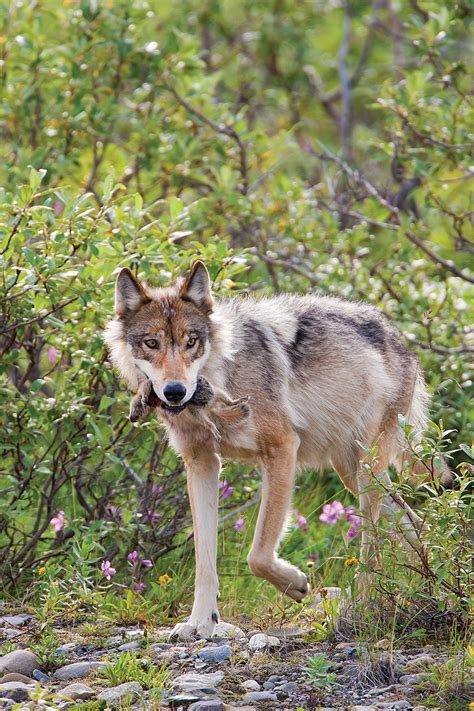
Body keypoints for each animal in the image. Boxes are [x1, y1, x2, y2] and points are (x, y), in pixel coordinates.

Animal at [104, 260, 436, 639]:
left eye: (191, 342)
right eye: (151, 343)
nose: (175, 391)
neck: (223, 372)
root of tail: (401, 341)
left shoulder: (281, 449)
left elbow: (258, 555)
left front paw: (297, 584)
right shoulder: (202, 463)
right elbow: (205, 560)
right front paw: (200, 622)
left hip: (366, 477)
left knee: (374, 546)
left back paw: (359, 610)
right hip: (352, 474)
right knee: (415, 523)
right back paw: (430, 583)